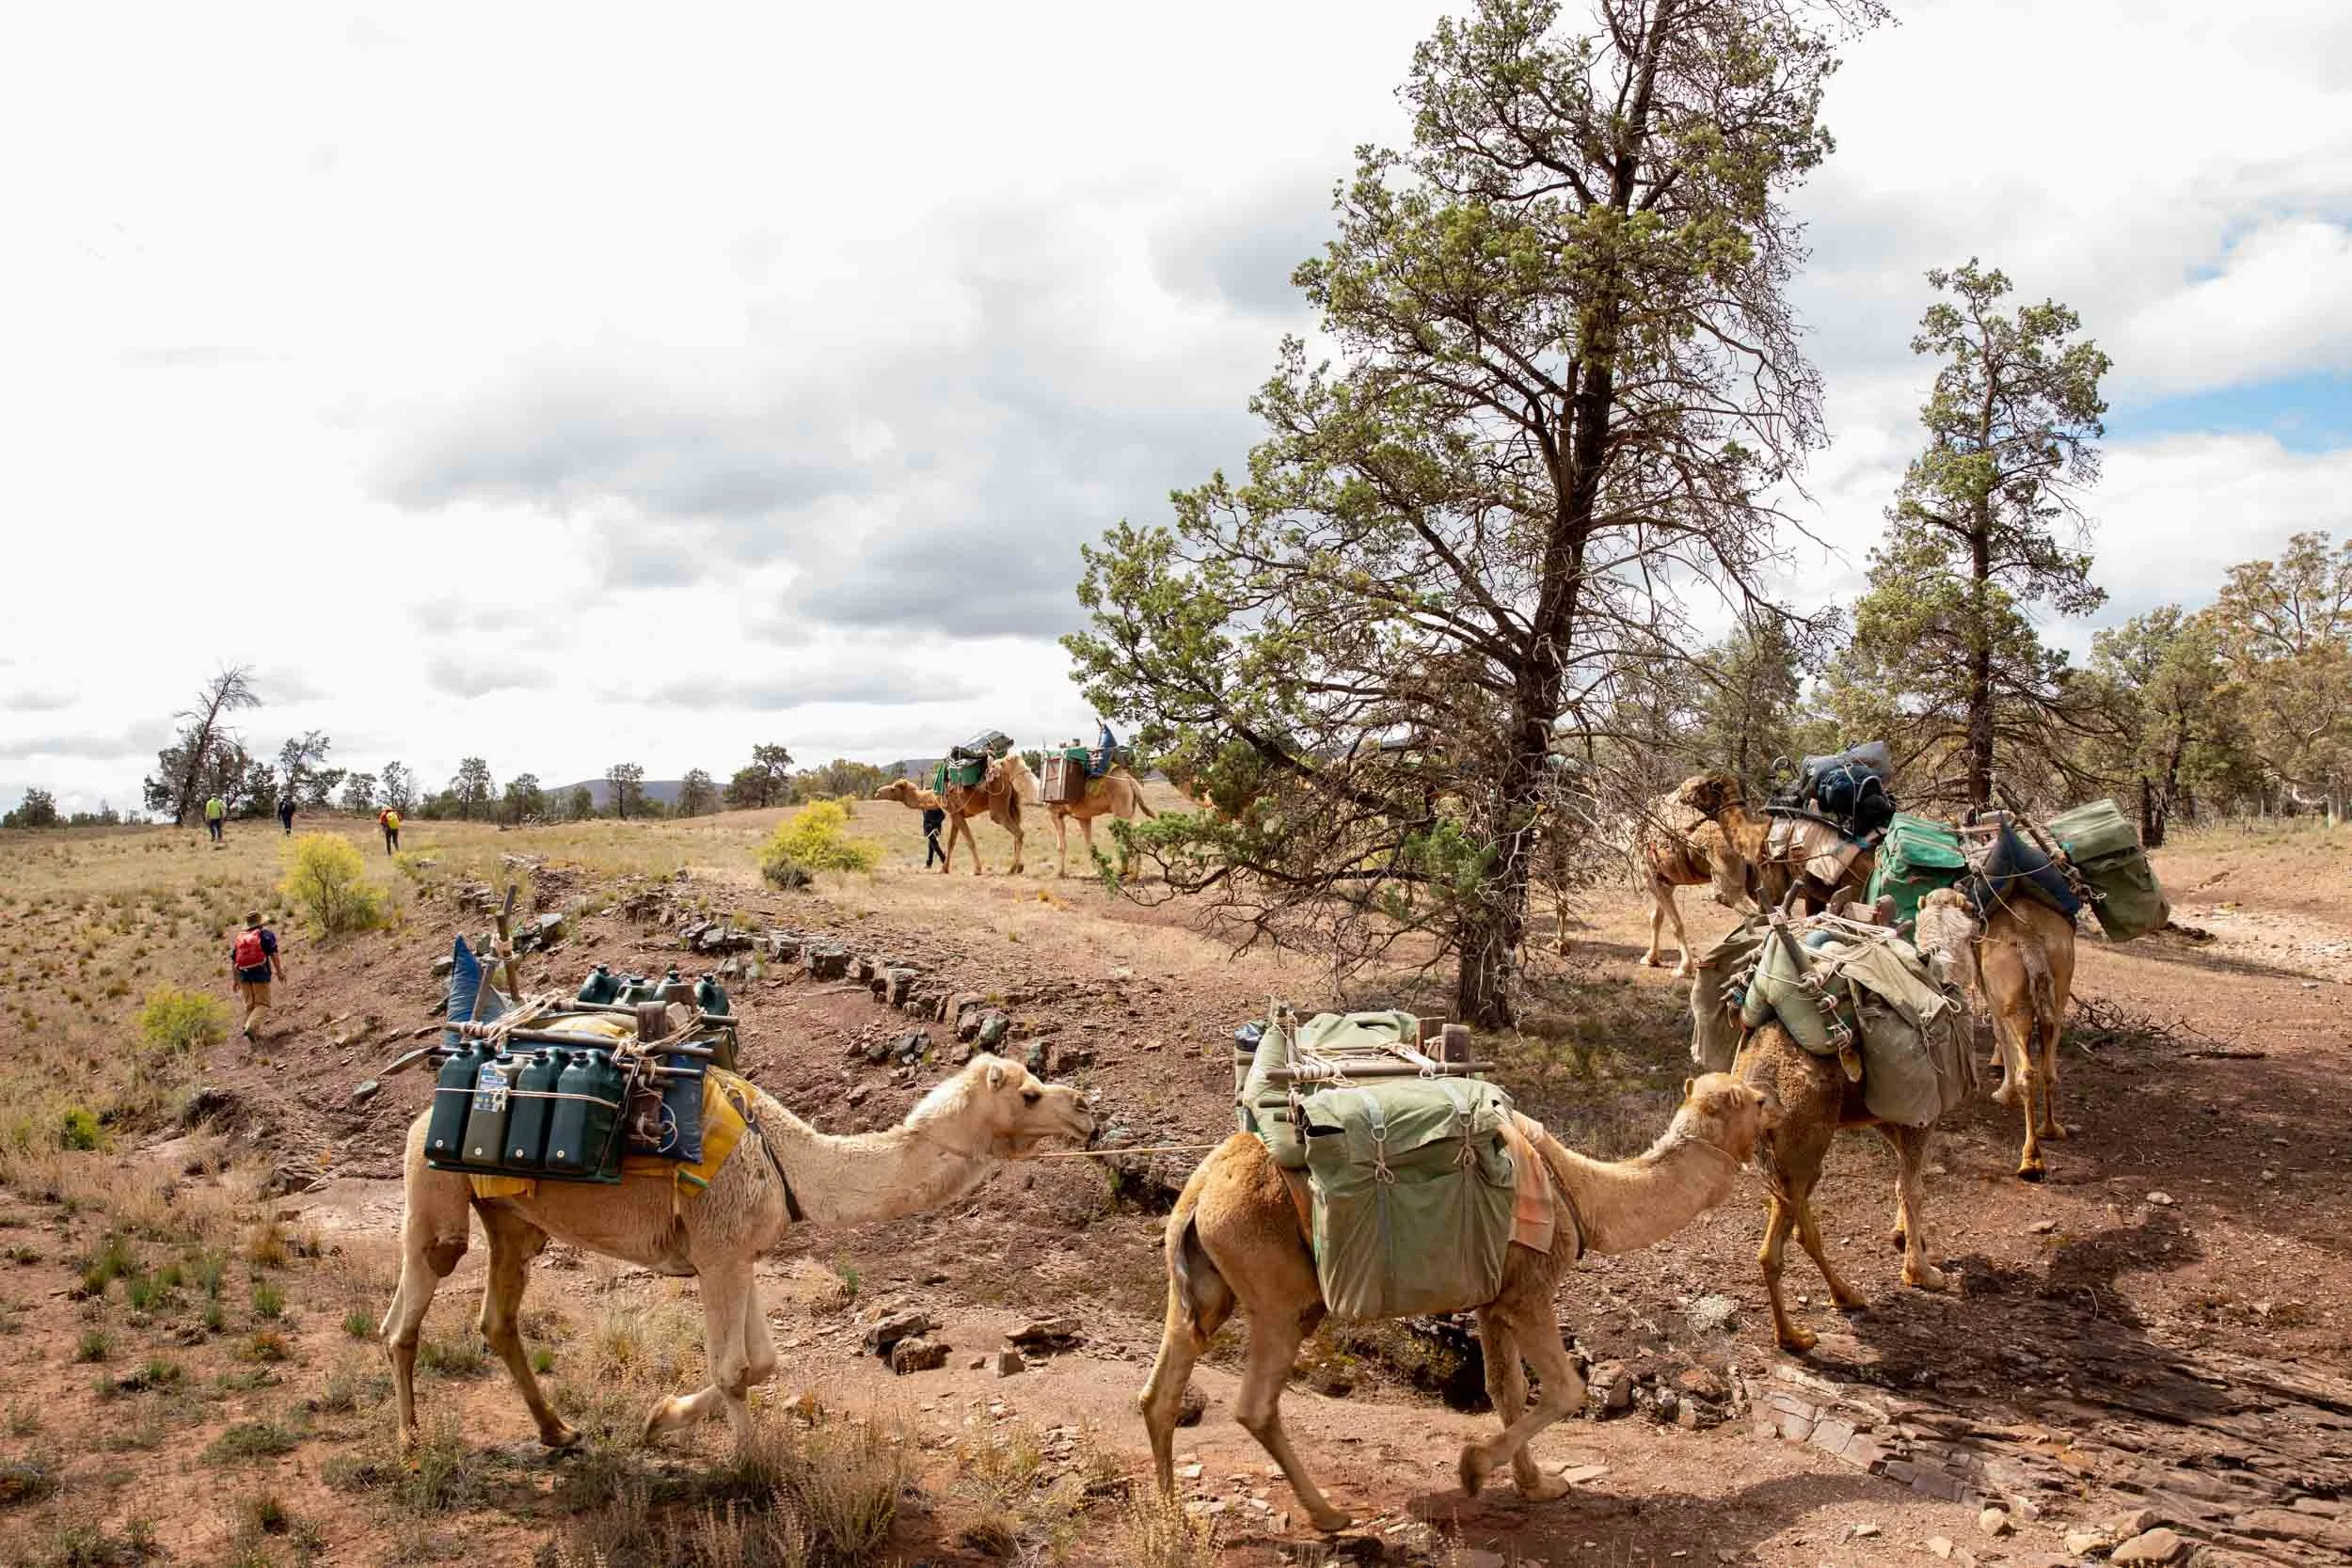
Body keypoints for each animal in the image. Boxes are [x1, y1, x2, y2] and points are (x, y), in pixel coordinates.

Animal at [381, 1054, 1093, 1454]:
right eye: (1028, 1093)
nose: (1086, 1109)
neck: (792, 1159)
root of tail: (423, 1114)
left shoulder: (740, 1254)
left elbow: (764, 1363)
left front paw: (659, 1419)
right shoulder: (719, 1251)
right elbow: (730, 1369)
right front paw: (746, 1467)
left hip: (513, 1217)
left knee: (498, 1317)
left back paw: (558, 1432)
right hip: (433, 1186)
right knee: (409, 1306)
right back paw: (411, 1438)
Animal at [875, 757, 1026, 875]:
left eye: (892, 789)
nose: (877, 792)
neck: (935, 794)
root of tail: (1008, 780)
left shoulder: (954, 812)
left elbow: (969, 841)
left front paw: (977, 870)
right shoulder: (956, 814)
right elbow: (951, 843)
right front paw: (944, 869)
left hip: (997, 805)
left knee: (1018, 832)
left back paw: (1012, 869)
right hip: (1011, 804)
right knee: (1017, 832)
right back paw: (1019, 867)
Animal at [1138, 1074, 1773, 1531]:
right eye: (1754, 1100)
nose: (1776, 1103)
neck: (1580, 1193)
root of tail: (1198, 1194)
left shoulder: (1494, 1297)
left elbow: (1505, 1388)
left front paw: (1537, 1485)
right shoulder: (1531, 1289)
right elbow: (1566, 1389)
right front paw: (1473, 1469)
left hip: (1202, 1284)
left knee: (1162, 1385)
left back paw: (1171, 1512)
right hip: (1278, 1292)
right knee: (1255, 1404)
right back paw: (1329, 1515)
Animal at [1637, 773, 1769, 975]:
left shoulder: (1651, 878)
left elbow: (1675, 924)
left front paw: (1683, 969)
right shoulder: (1665, 882)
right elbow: (1656, 919)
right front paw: (1650, 959)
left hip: (1727, 881)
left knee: (1752, 912)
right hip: (1755, 880)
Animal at [1912, 885, 2077, 1181]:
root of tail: (2028, 935)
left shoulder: (1991, 991)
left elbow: (2000, 1033)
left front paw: (2003, 1092)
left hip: (2011, 999)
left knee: (2026, 1069)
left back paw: (2031, 1161)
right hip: (2058, 989)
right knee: (2048, 1065)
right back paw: (2051, 1129)